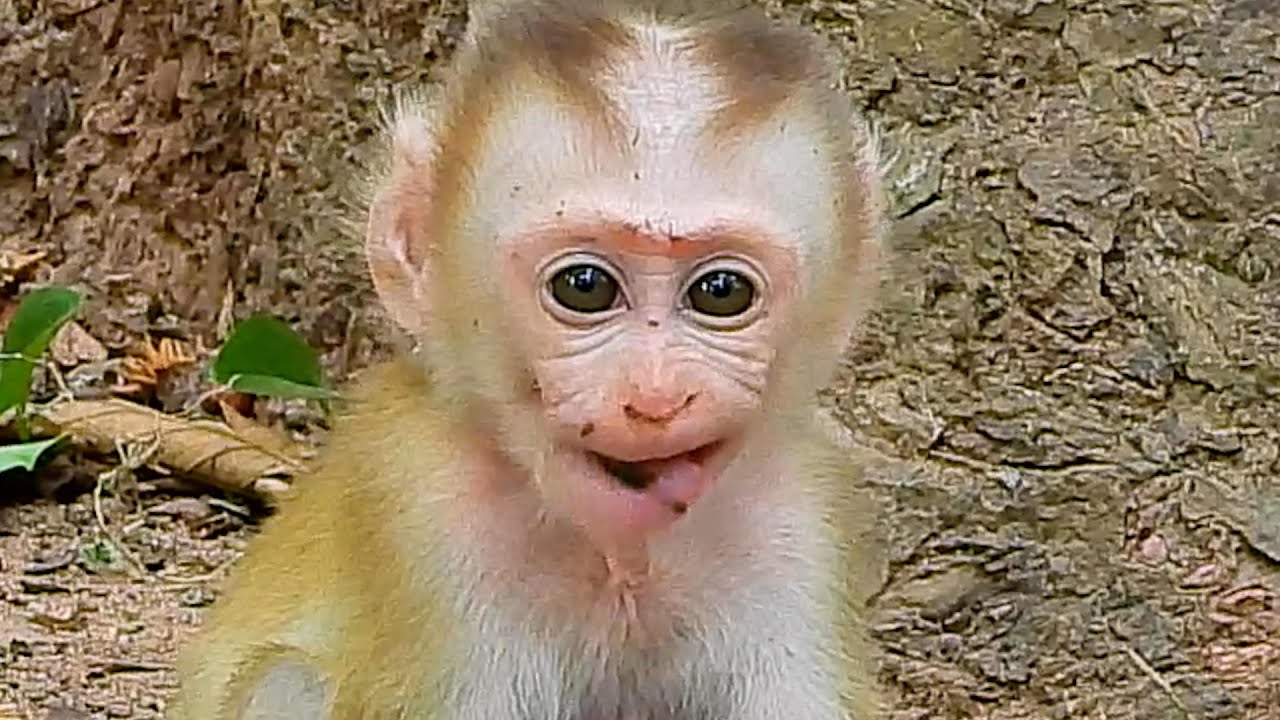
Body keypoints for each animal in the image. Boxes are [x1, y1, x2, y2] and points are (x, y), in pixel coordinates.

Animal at [167, 0, 887, 717]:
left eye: (721, 292)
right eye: (584, 286)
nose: (655, 397)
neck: (619, 558)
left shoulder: (799, 525)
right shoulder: (425, 509)